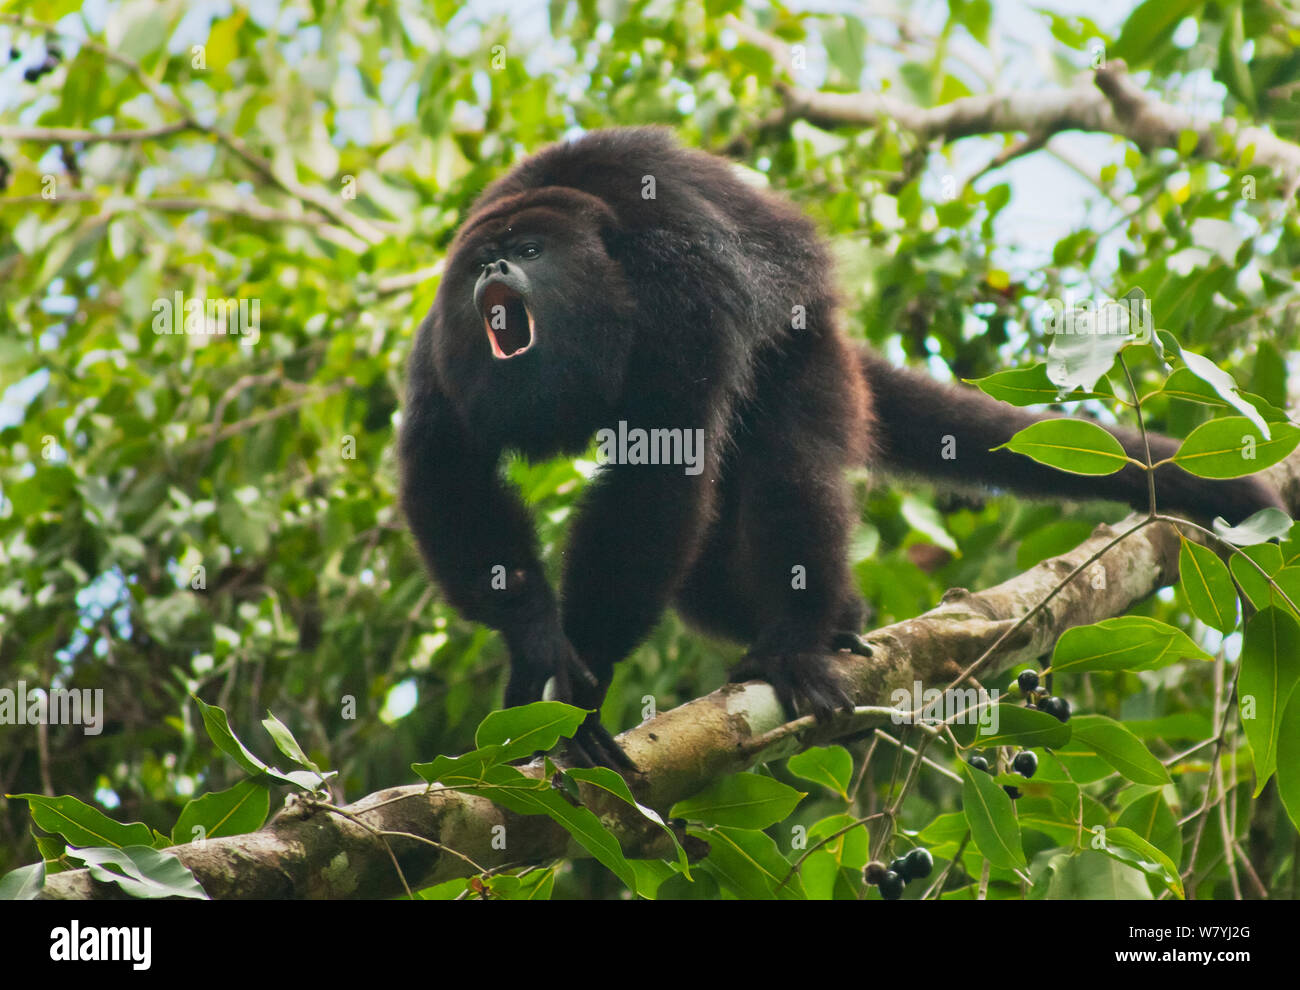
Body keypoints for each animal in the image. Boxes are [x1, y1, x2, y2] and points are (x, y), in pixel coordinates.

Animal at [398, 127, 1285, 769]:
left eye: (533, 251)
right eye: (481, 262)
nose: (496, 265)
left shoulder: (677, 297)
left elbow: (661, 471)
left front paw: (582, 686)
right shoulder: (437, 346)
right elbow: (448, 470)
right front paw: (536, 644)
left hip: (809, 353)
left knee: (788, 471)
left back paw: (800, 639)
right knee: (707, 564)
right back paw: (842, 619)